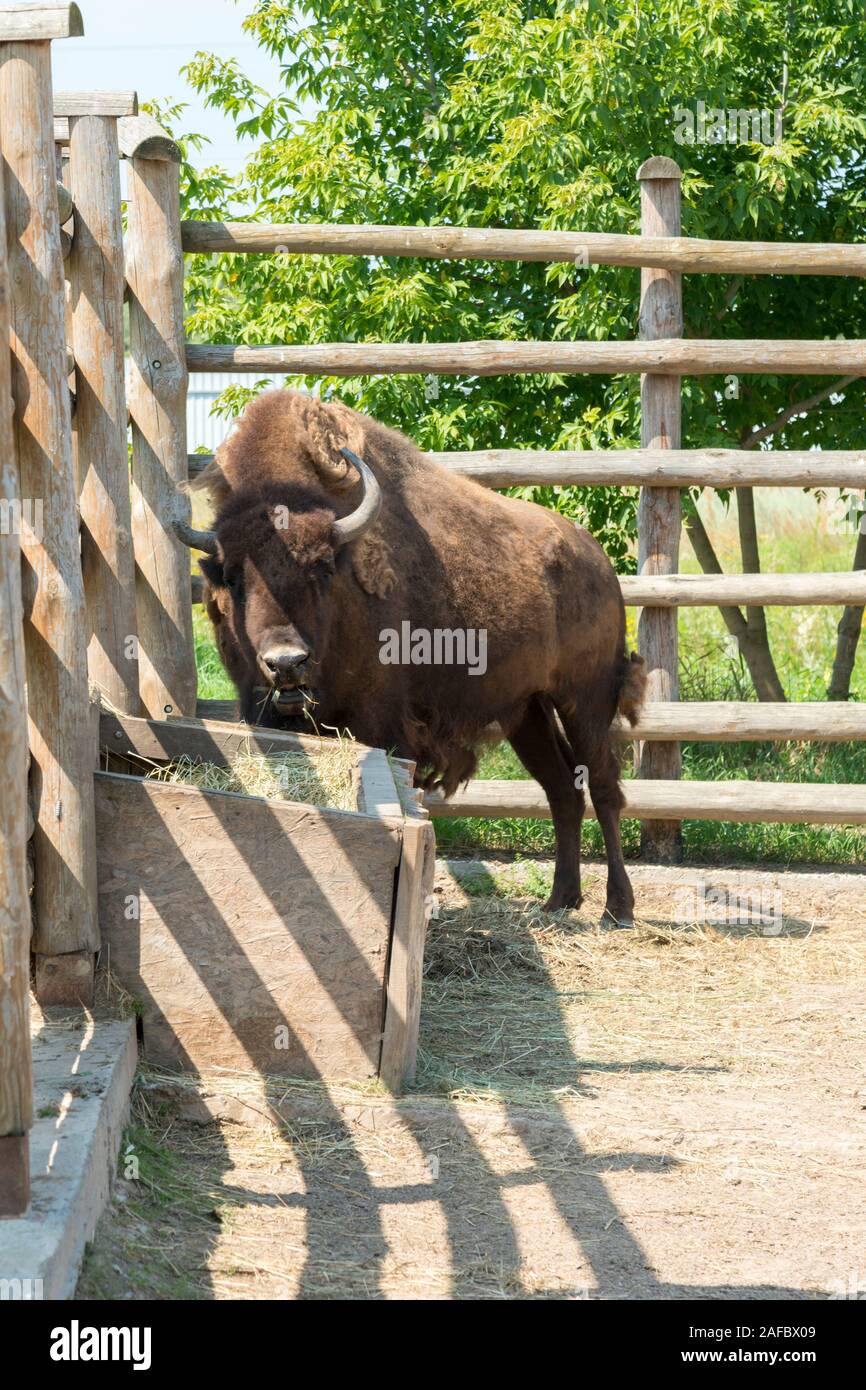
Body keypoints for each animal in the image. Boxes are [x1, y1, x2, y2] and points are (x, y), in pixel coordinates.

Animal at [176, 389, 646, 924]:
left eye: (321, 568)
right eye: (232, 575)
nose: (286, 663)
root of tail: (597, 560)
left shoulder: (385, 726)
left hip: (585, 699)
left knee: (604, 786)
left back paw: (617, 907)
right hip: (527, 710)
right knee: (563, 789)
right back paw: (559, 901)